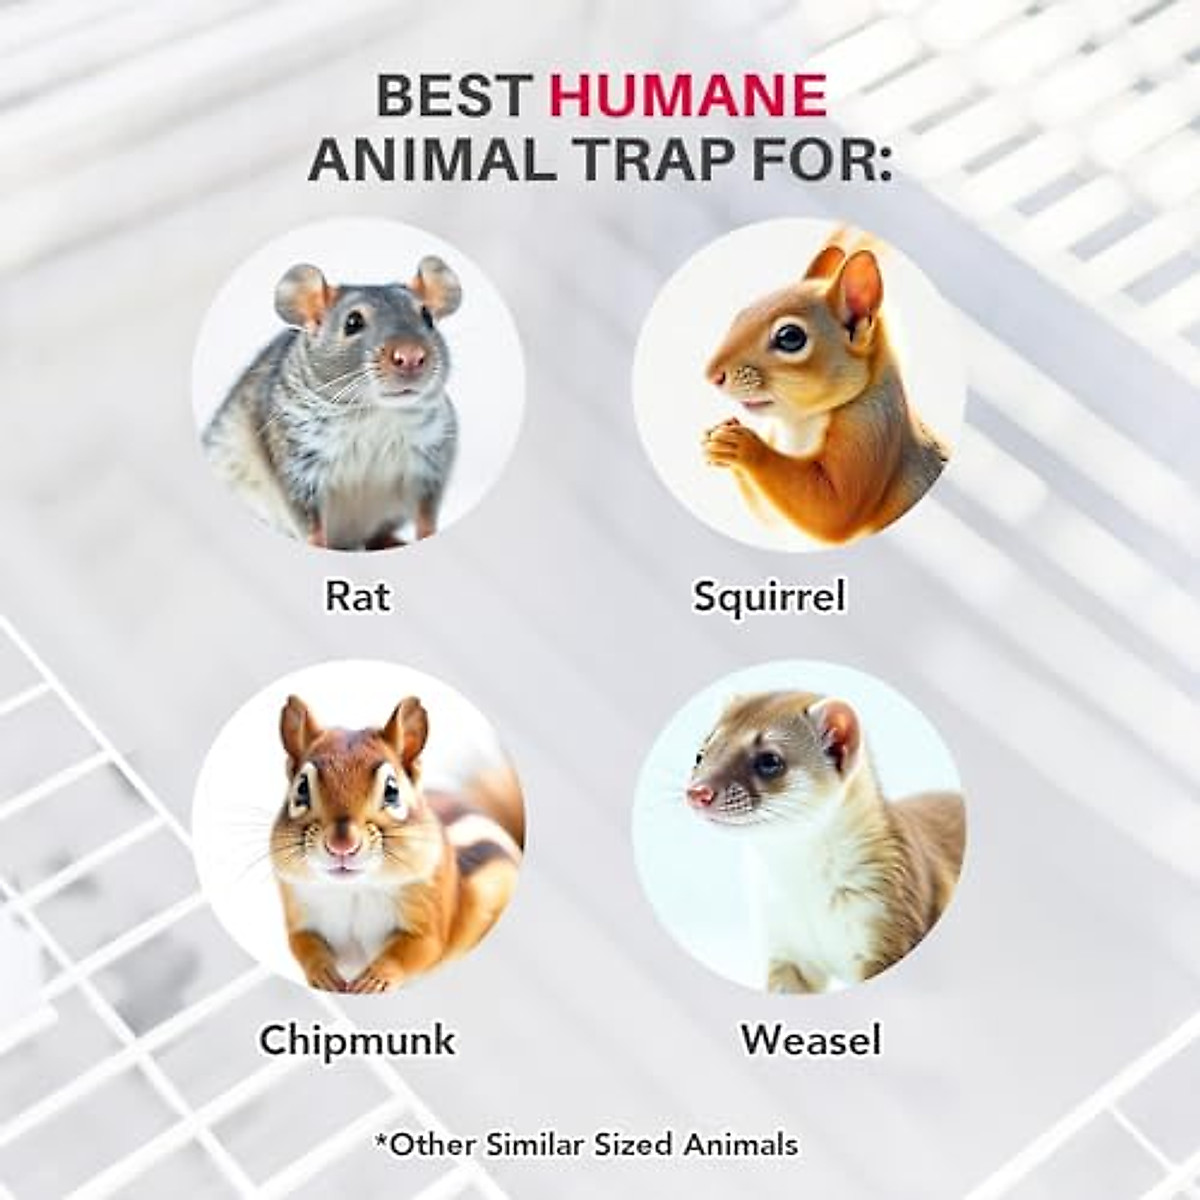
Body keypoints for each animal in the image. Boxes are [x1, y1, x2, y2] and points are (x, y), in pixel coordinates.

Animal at [202, 256, 461, 551]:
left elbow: (426, 513)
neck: (376, 413)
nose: (411, 356)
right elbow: (308, 520)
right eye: (353, 322)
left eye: (427, 317)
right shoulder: (297, 460)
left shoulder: (433, 456)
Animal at [270, 694, 522, 993]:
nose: (342, 845)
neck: (354, 889)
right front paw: (323, 972)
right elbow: (304, 945)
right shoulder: (300, 916)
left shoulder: (430, 919)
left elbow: (416, 949)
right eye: (301, 789)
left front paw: (374, 979)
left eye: (392, 790)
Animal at [687, 690, 965, 993]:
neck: (807, 894)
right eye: (700, 753)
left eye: (770, 760)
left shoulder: (888, 932)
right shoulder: (784, 948)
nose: (698, 792)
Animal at [702, 235, 948, 544]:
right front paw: (716, 437)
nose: (711, 375)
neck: (797, 425)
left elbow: (832, 511)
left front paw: (742, 446)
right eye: (740, 315)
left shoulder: (870, 433)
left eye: (790, 337)